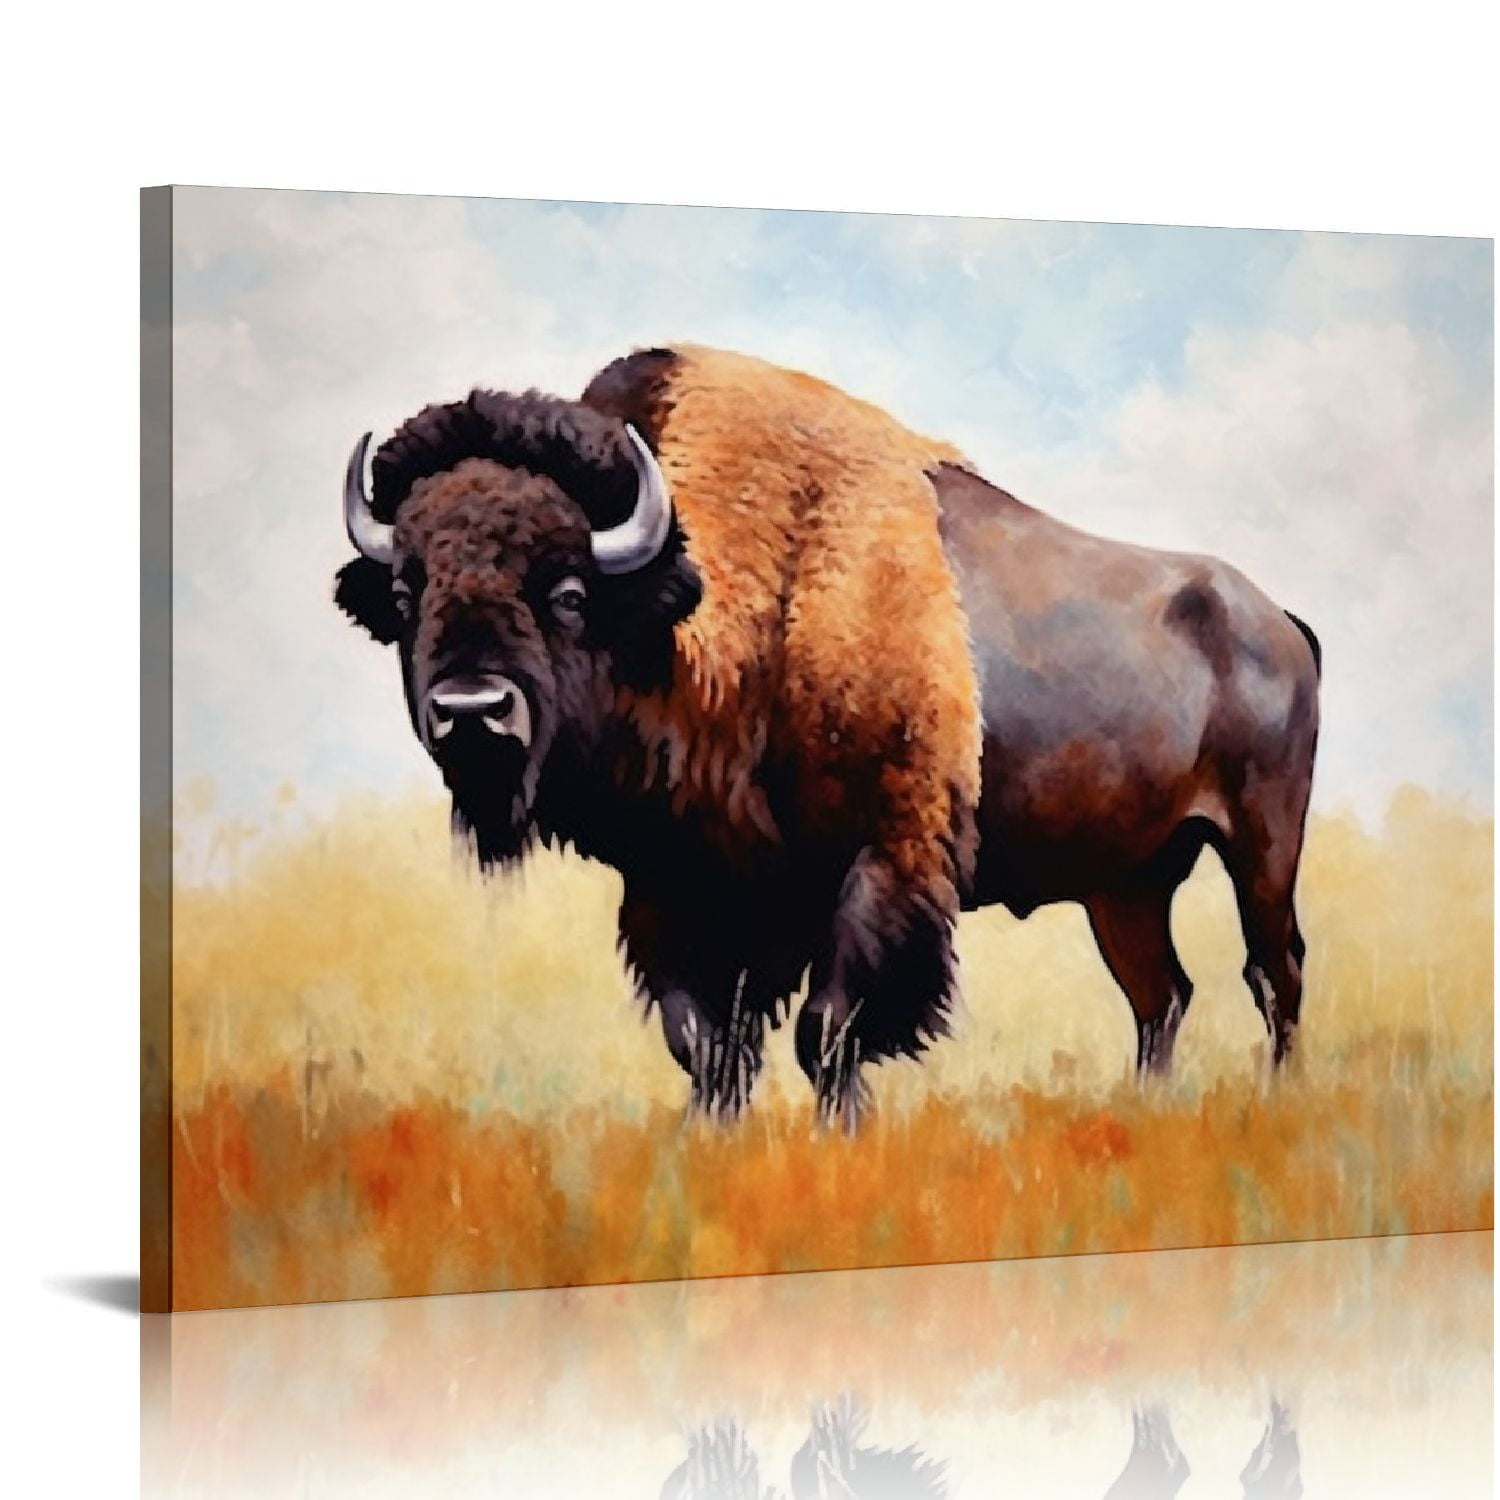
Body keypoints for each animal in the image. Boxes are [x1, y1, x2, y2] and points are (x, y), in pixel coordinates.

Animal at [335, 345, 1320, 1125]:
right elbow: (706, 1040)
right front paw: (711, 1138)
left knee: (1274, 973)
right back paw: (1147, 1104)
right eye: (407, 591)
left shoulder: (882, 861)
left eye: (569, 592)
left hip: (1260, 847)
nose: (472, 710)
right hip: (1125, 883)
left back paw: (1277, 1099)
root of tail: (1276, 619)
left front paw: (839, 1137)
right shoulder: (681, 887)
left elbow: (832, 1028)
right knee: (1162, 995)